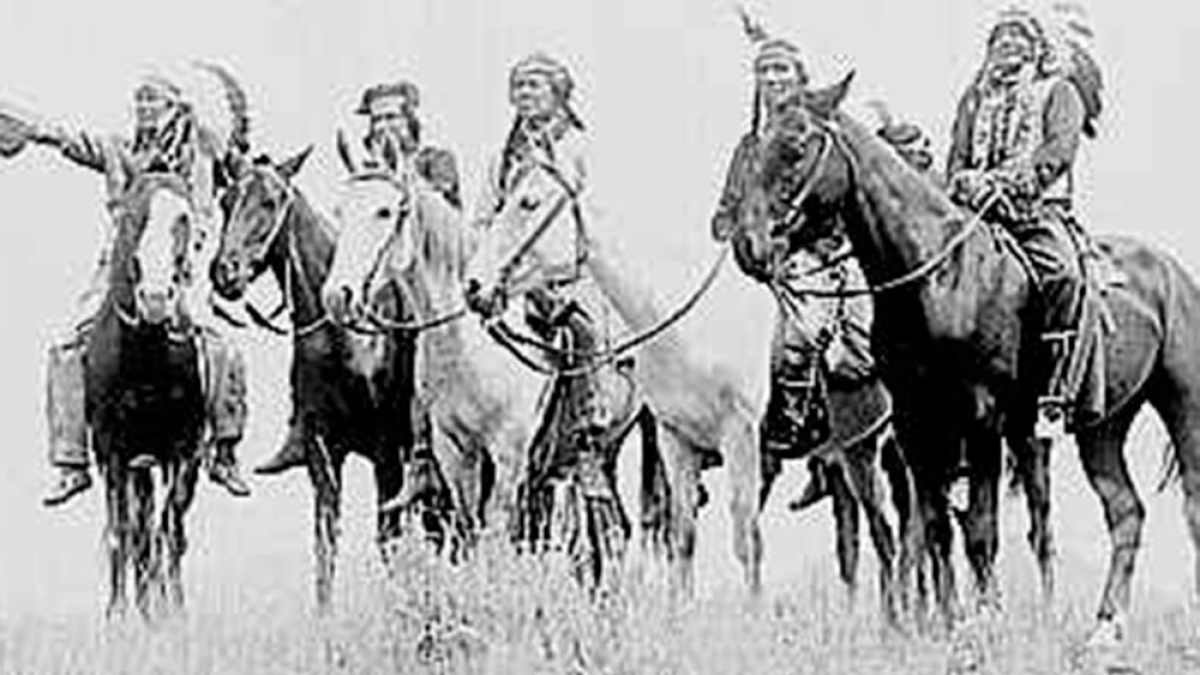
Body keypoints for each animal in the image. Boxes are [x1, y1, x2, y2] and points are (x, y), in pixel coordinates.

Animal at [86, 171, 210, 620]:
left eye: (185, 220)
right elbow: (122, 530)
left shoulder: (184, 448)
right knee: (137, 529)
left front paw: (175, 612)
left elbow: (169, 529)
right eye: (131, 216)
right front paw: (118, 616)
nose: (156, 299)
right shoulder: (112, 451)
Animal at [730, 72, 1200, 645]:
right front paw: (949, 622)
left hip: (1181, 405)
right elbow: (933, 531)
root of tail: (1173, 275)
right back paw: (1104, 628)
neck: (939, 278)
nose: (749, 245)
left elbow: (978, 529)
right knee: (1125, 512)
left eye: (796, 147)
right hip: (1103, 425)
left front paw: (985, 619)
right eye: (755, 150)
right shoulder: (914, 426)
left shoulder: (981, 420)